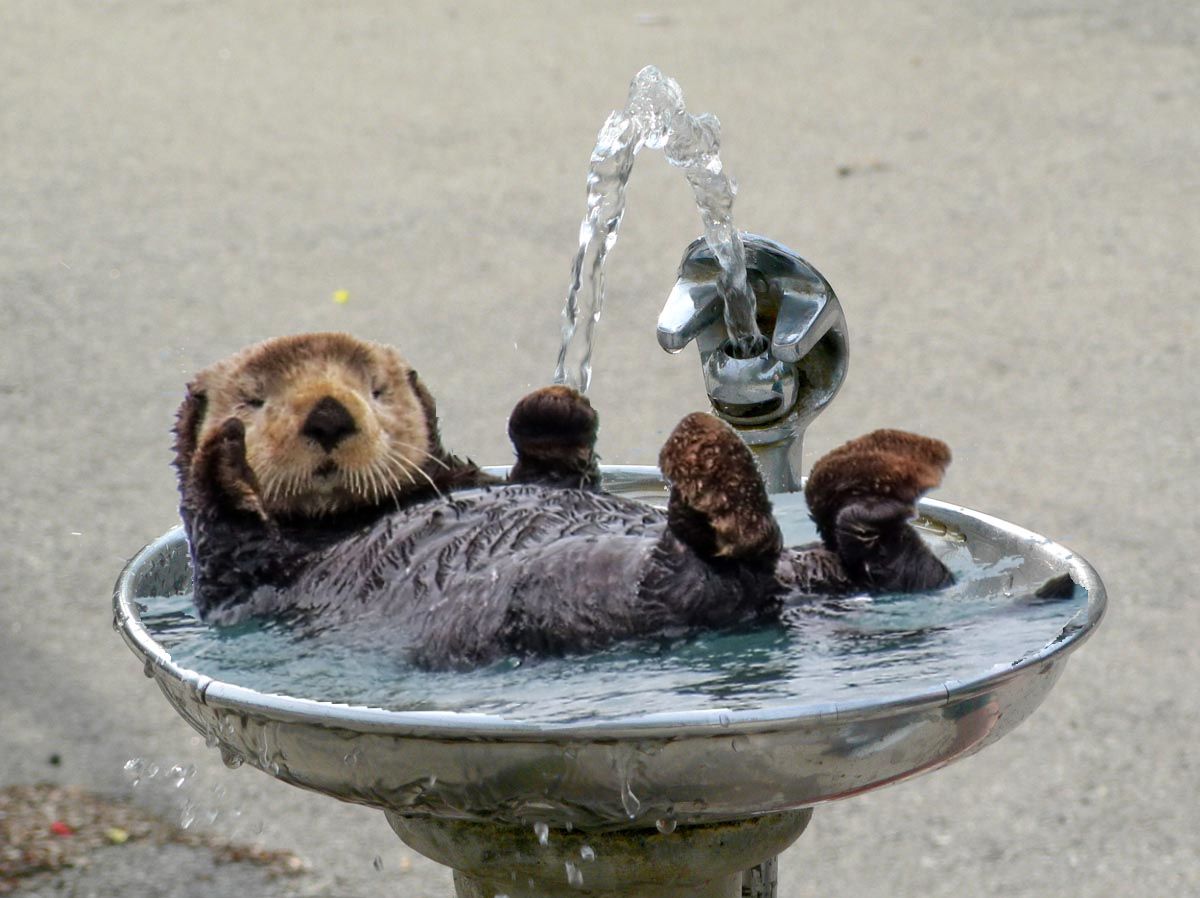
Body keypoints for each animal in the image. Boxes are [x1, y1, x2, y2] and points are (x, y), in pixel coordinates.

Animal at [174, 332, 953, 670]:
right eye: (252, 398)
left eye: (376, 388)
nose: (329, 414)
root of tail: (786, 599)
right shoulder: (240, 577)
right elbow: (222, 523)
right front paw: (225, 455)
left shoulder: (525, 474)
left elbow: (553, 461)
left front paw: (555, 403)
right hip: (581, 592)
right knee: (708, 570)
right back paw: (718, 476)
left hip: (817, 568)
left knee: (891, 562)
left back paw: (877, 477)